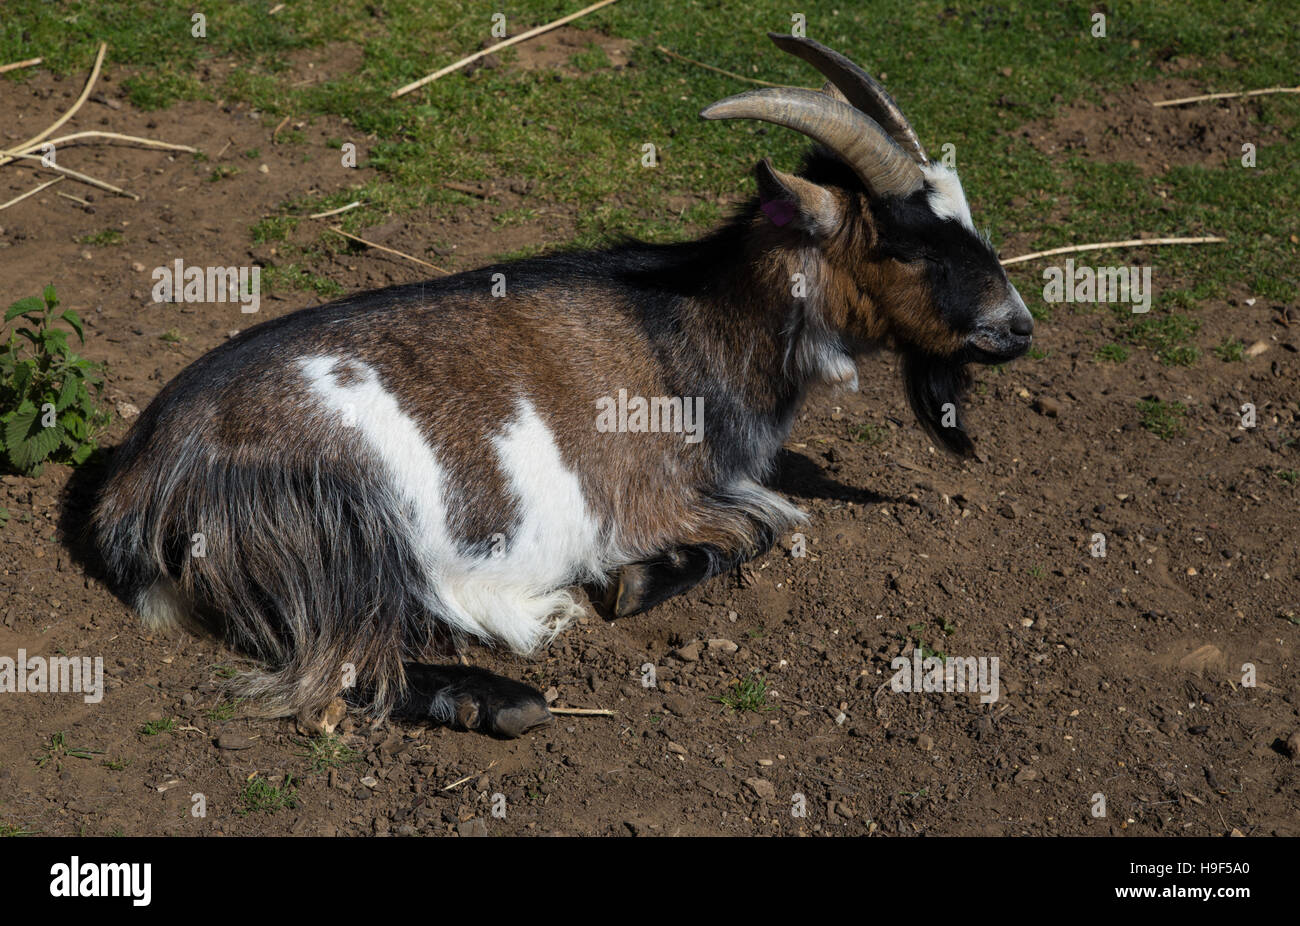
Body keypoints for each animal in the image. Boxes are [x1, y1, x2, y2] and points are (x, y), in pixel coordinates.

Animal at [93, 34, 1032, 737]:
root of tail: (146, 478)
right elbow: (771, 524)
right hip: (347, 524)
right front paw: (633, 585)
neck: (690, 331)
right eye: (904, 246)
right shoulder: (658, 496)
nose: (1018, 327)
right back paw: (503, 698)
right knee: (341, 662)